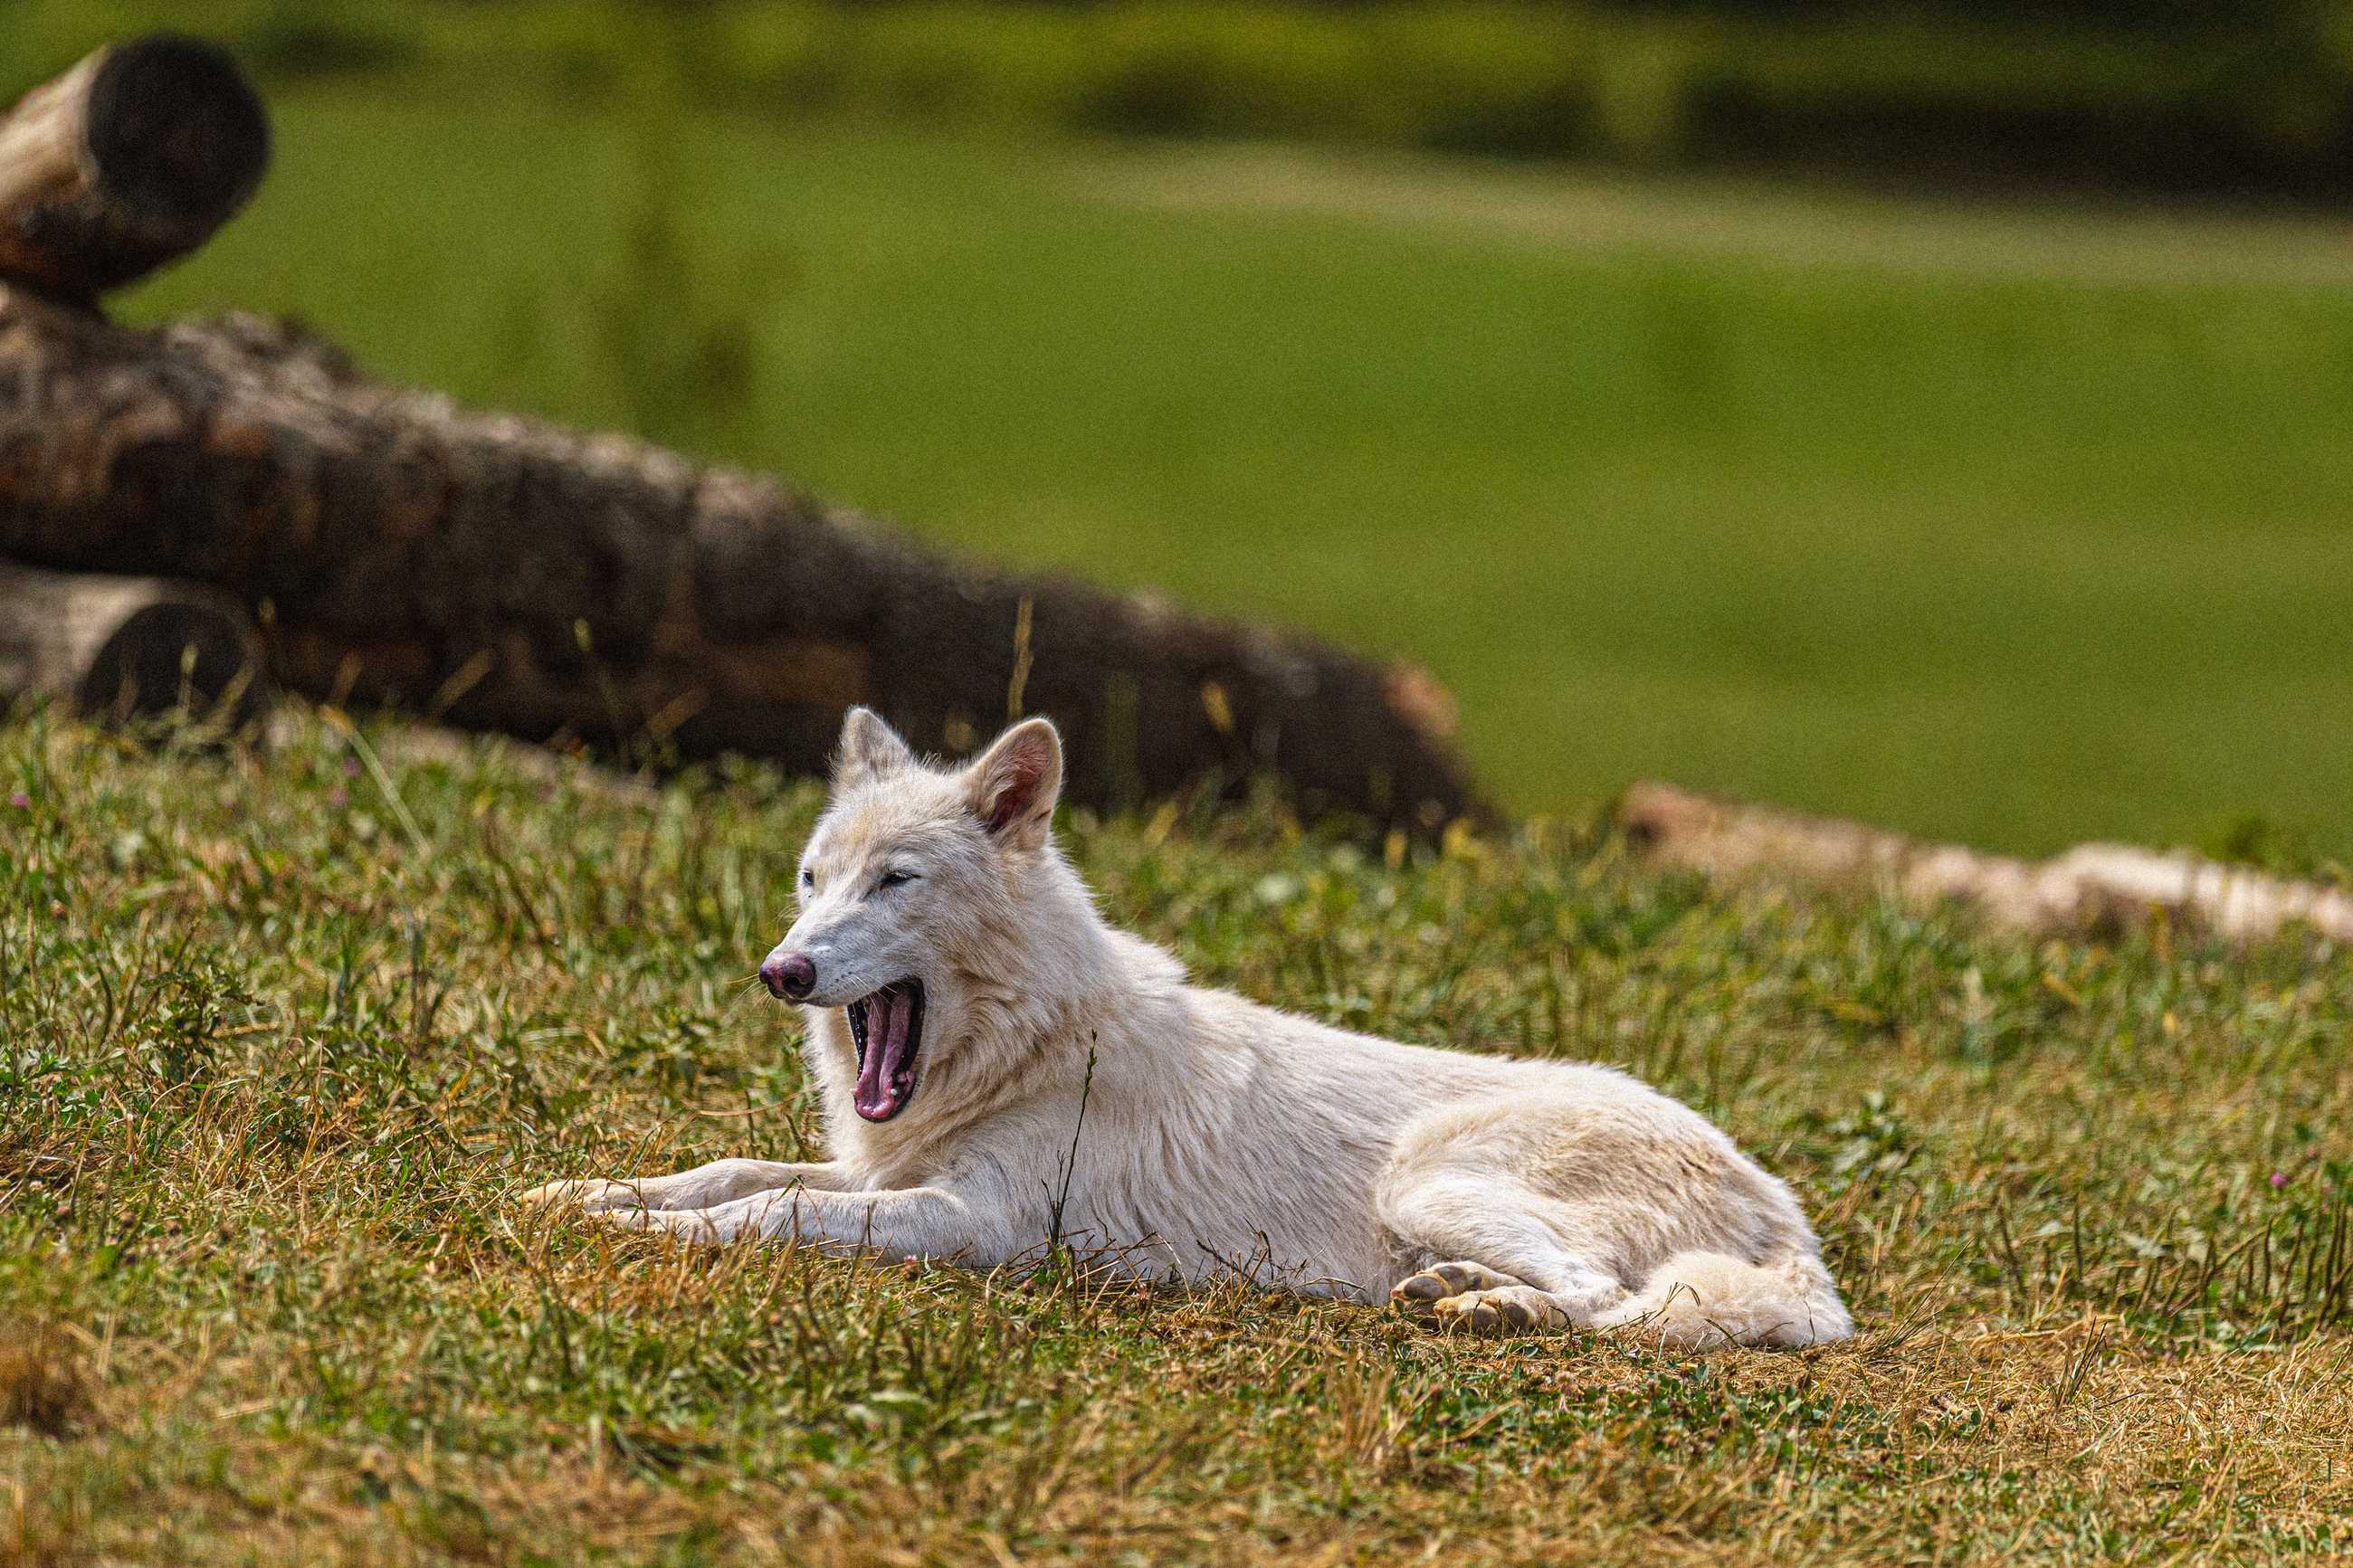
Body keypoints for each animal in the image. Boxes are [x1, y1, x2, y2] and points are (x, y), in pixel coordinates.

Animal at [527, 709, 1851, 1347]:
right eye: (813, 878)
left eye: (895, 881)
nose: (779, 971)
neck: (1034, 1046)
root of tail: (1786, 1213)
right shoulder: (890, 1169)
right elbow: (725, 1168)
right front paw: (582, 1195)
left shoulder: (974, 1222)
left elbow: (770, 1212)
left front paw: (650, 1235)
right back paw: (1469, 1297)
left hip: (1429, 1182)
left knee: (1611, 1304)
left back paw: (1490, 1310)